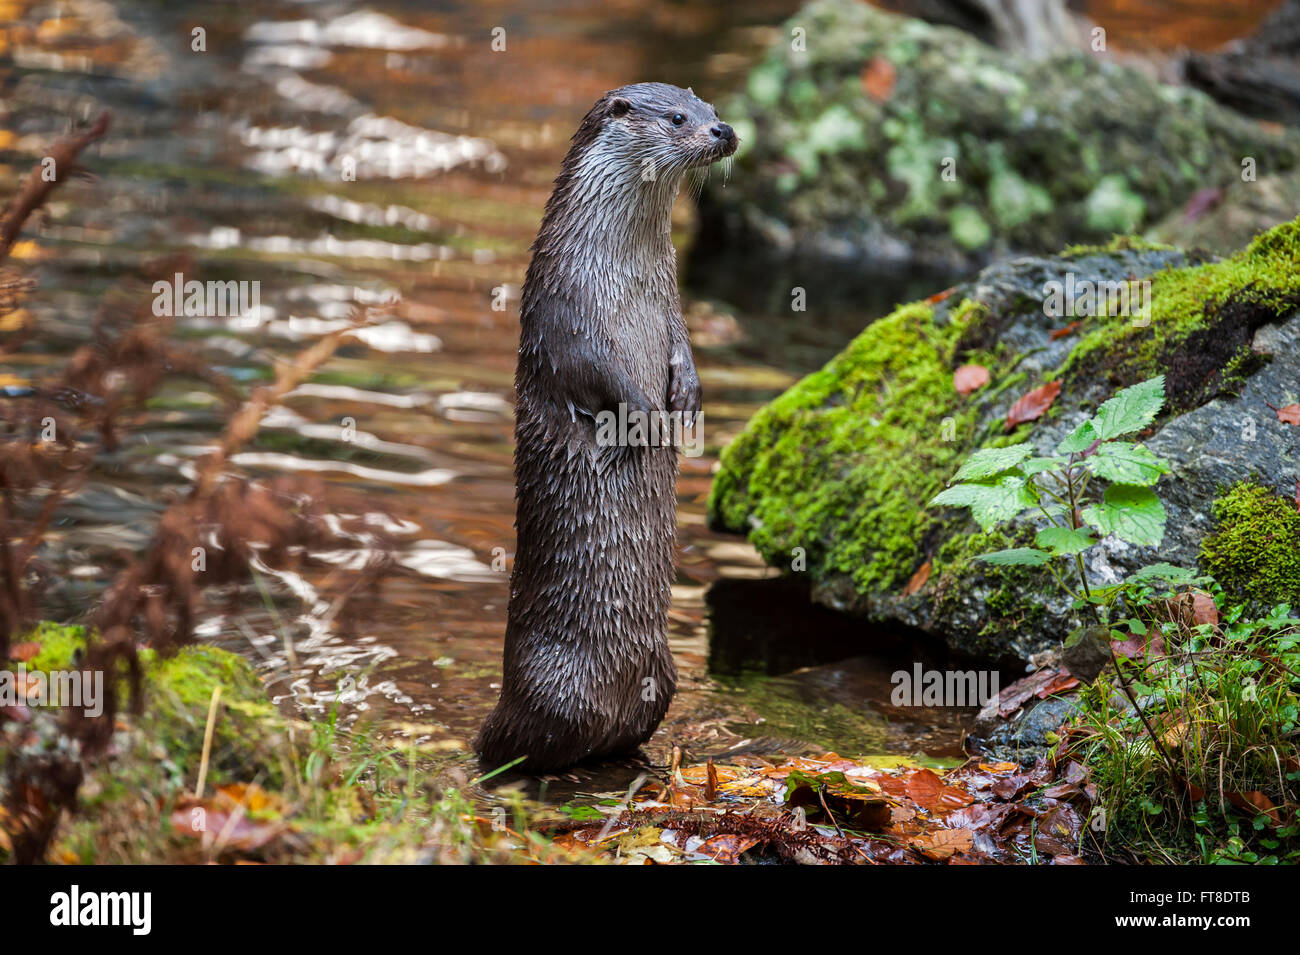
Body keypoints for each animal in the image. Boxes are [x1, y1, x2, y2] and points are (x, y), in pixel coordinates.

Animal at [475, 83, 739, 773]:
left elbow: (683, 347)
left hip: (662, 679)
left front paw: (688, 397)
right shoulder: (569, 314)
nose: (724, 131)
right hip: (553, 689)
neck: (623, 276)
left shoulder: (671, 305)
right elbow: (599, 373)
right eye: (677, 118)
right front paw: (646, 416)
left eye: (710, 107)